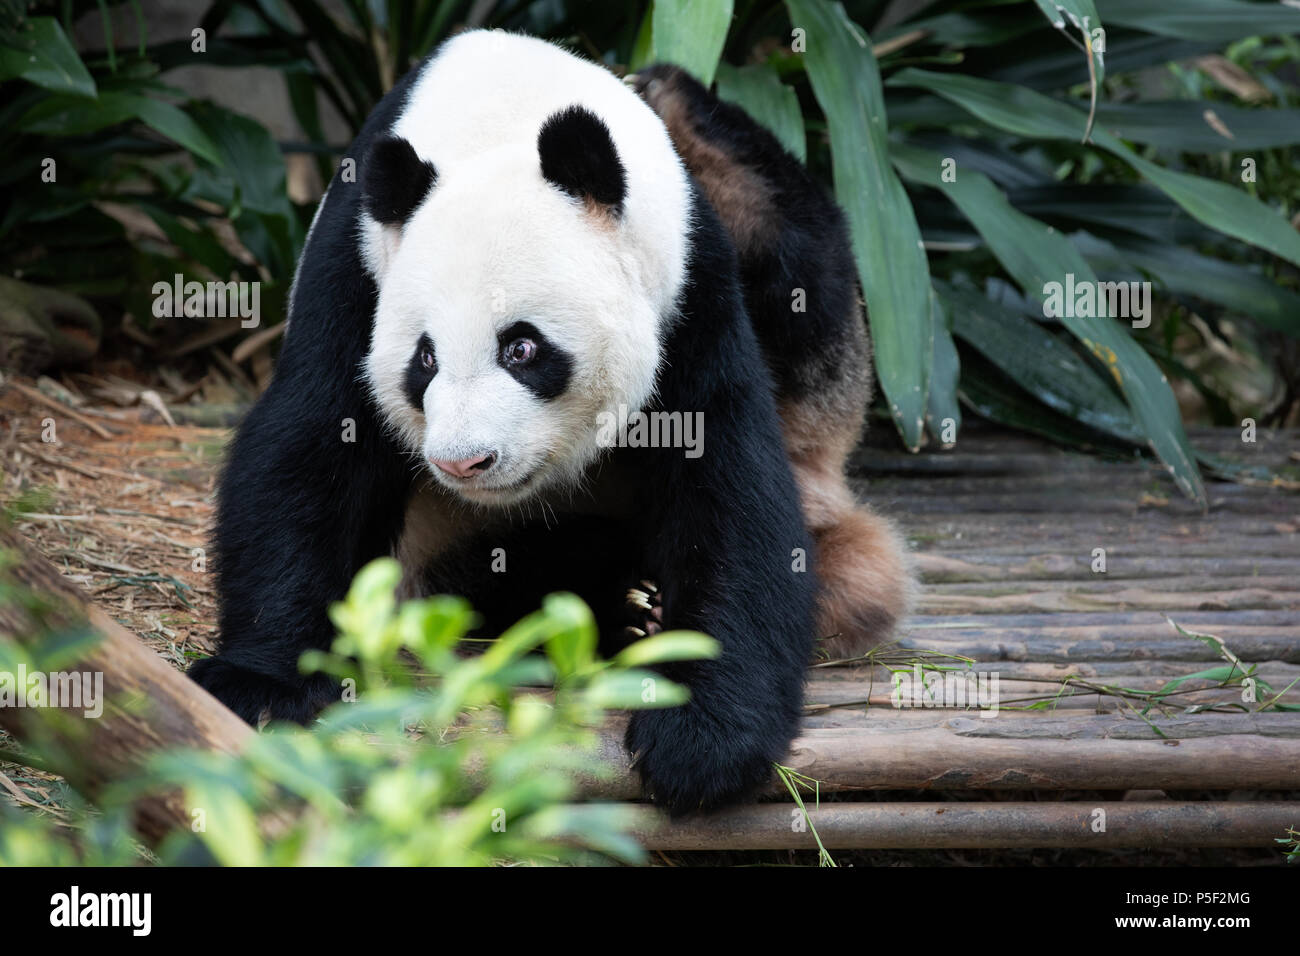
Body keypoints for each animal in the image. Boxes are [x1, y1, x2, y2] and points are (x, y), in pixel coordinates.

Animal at [189, 30, 912, 814]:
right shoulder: (358, 266)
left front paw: (705, 740)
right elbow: (309, 449)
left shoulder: (687, 283)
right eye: (423, 360)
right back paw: (621, 604)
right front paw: (260, 684)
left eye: (522, 348)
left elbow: (727, 481)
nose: (463, 462)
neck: (507, 119)